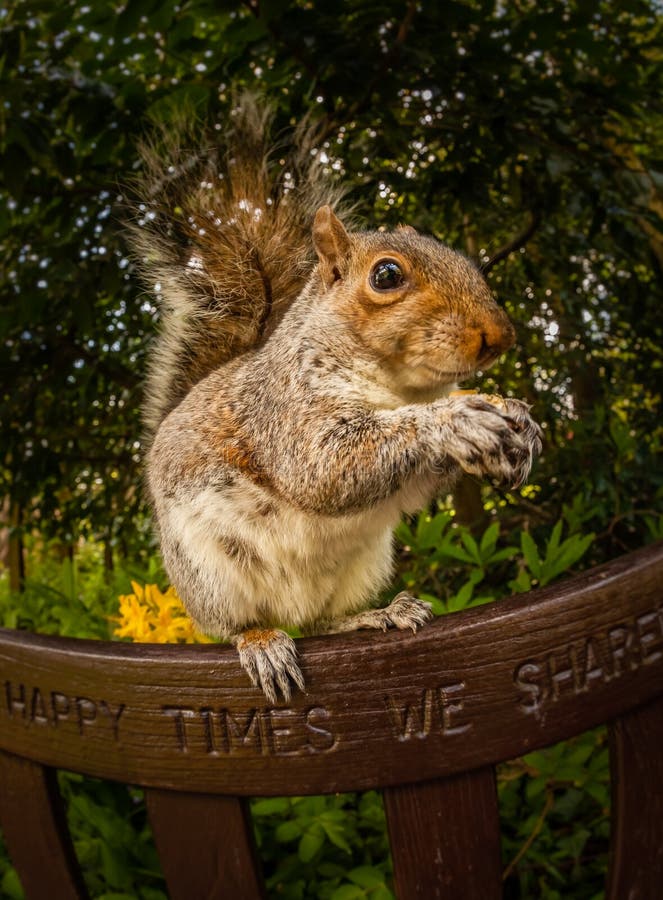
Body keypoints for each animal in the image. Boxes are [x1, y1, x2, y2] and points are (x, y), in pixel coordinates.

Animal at [129, 94, 542, 703]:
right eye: (387, 275)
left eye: (463, 258)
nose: (500, 336)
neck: (400, 386)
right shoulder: (284, 410)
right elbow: (323, 467)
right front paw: (454, 420)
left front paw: (515, 421)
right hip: (210, 573)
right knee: (238, 624)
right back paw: (261, 642)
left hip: (361, 565)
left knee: (322, 622)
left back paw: (377, 615)